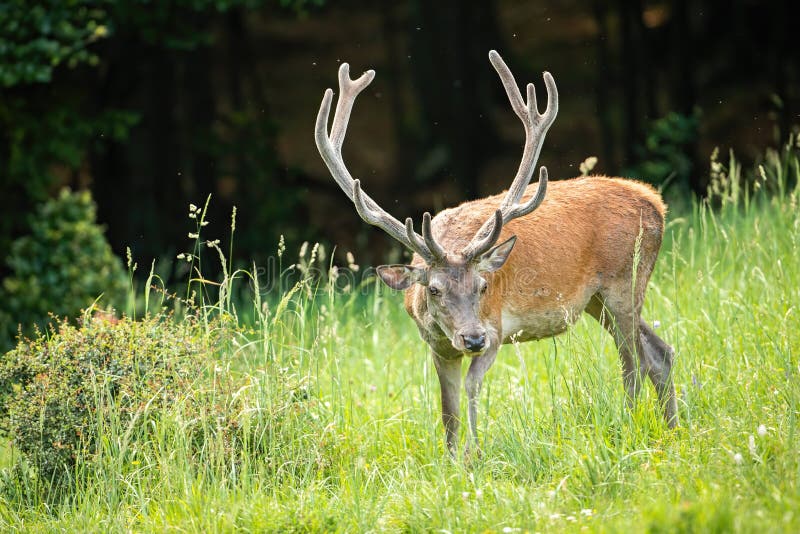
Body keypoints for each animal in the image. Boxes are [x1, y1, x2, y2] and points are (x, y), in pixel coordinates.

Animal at [314, 50, 678, 457]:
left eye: (484, 287)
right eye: (434, 289)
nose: (472, 339)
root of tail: (656, 203)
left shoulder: (497, 328)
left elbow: (472, 387)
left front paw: (475, 455)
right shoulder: (438, 347)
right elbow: (448, 411)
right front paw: (452, 459)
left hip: (623, 282)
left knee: (633, 364)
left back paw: (630, 426)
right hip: (596, 301)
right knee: (660, 353)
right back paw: (674, 429)